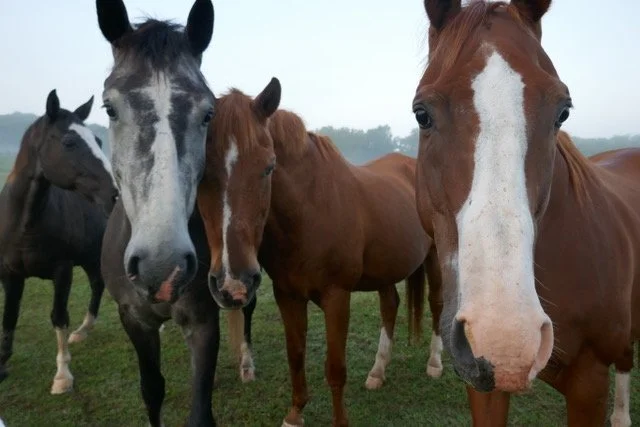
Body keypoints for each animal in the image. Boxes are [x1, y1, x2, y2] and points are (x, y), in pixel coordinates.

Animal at [0, 89, 117, 393]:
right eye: (69, 142)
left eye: (98, 140)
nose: (114, 194)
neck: (25, 224)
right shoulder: (10, 274)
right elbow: (9, 318)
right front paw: (2, 365)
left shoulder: (62, 270)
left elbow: (59, 317)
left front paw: (63, 374)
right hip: (91, 257)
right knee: (98, 284)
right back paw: (84, 330)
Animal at [95, 1, 257, 425]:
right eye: (109, 107)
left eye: (208, 113)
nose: (162, 268)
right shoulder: (134, 320)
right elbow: (152, 391)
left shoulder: (202, 321)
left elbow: (200, 411)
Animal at [196, 78, 444, 427]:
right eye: (200, 171)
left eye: (268, 167)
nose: (233, 284)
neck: (310, 210)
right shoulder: (287, 296)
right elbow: (296, 356)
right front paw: (295, 414)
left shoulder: (336, 297)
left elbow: (335, 369)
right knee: (390, 306)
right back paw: (378, 371)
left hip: (435, 257)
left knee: (436, 303)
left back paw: (434, 363)